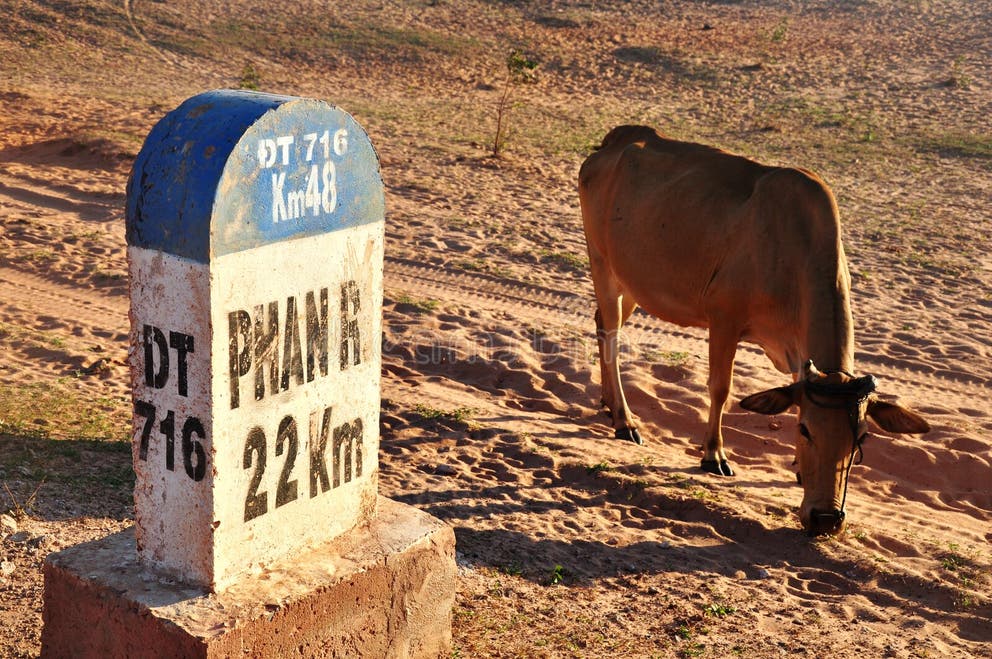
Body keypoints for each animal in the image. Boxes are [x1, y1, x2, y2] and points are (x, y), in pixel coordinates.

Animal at [578, 125, 930, 535]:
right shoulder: (724, 318)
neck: (793, 252)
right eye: (806, 430)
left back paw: (608, 403)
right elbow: (721, 388)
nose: (826, 518)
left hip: (633, 284)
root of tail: (613, 143)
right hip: (603, 265)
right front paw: (713, 454)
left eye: (861, 438)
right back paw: (624, 419)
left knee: (602, 325)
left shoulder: (798, 352)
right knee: (611, 338)